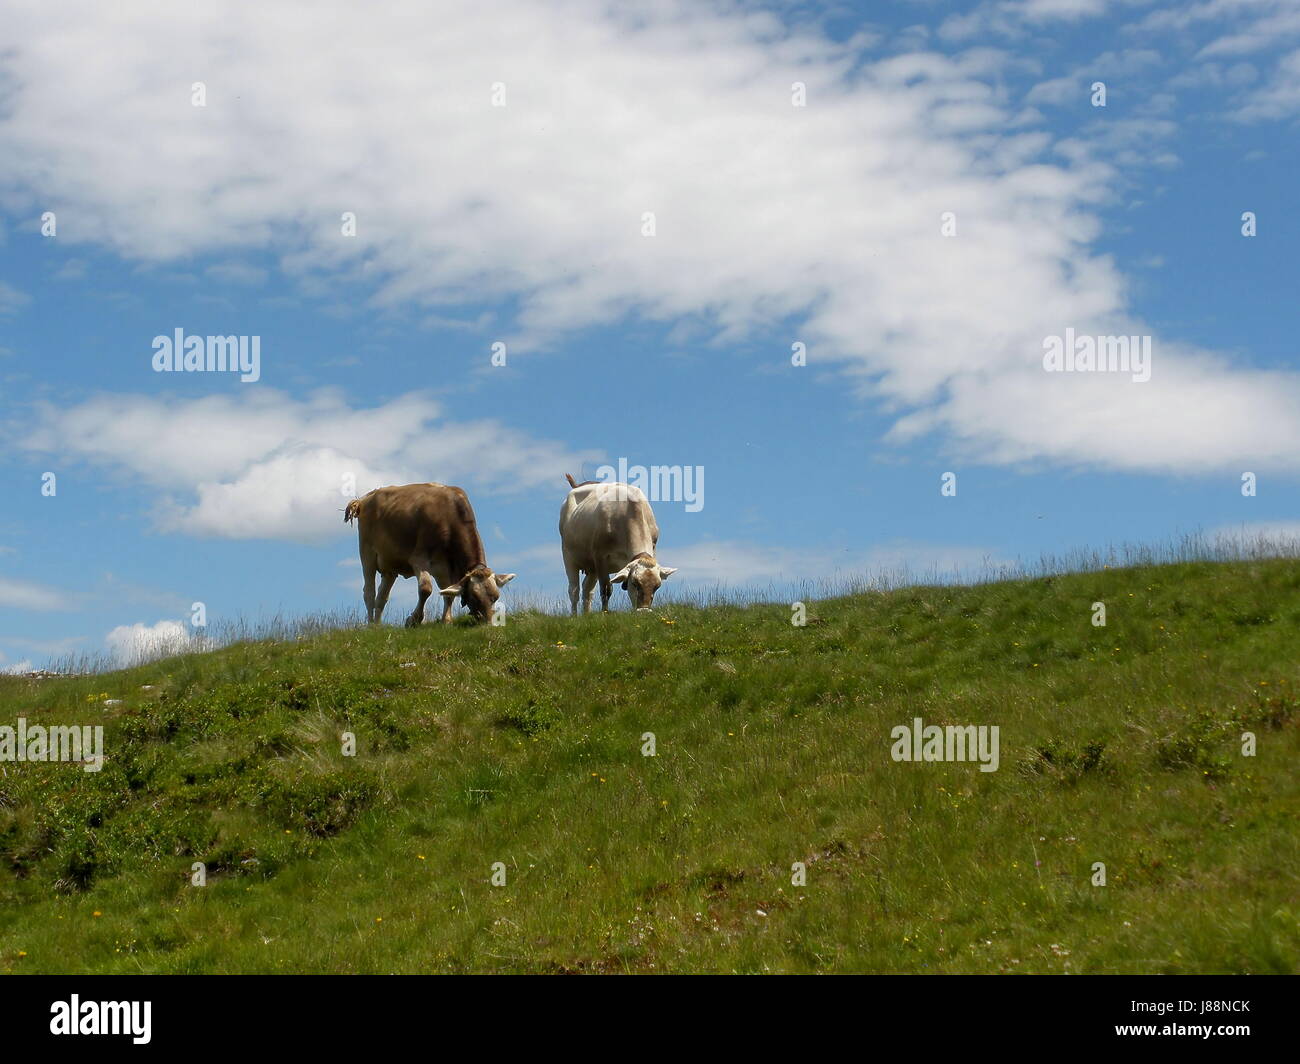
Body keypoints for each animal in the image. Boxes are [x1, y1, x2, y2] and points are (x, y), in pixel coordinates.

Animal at [344, 483, 515, 626]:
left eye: (496, 597)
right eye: (475, 597)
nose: (489, 623)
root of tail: (365, 498)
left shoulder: (444, 567)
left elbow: (448, 593)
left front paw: (446, 620)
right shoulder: (419, 560)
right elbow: (426, 589)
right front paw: (413, 620)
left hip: (390, 566)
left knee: (381, 597)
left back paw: (377, 626)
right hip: (367, 554)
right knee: (369, 592)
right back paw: (370, 625)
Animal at [558, 475, 677, 613]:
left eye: (657, 586)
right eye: (635, 583)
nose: (644, 611)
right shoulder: (600, 557)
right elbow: (606, 589)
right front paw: (605, 613)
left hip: (591, 568)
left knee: (587, 590)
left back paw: (586, 615)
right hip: (568, 556)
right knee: (574, 590)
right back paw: (574, 615)